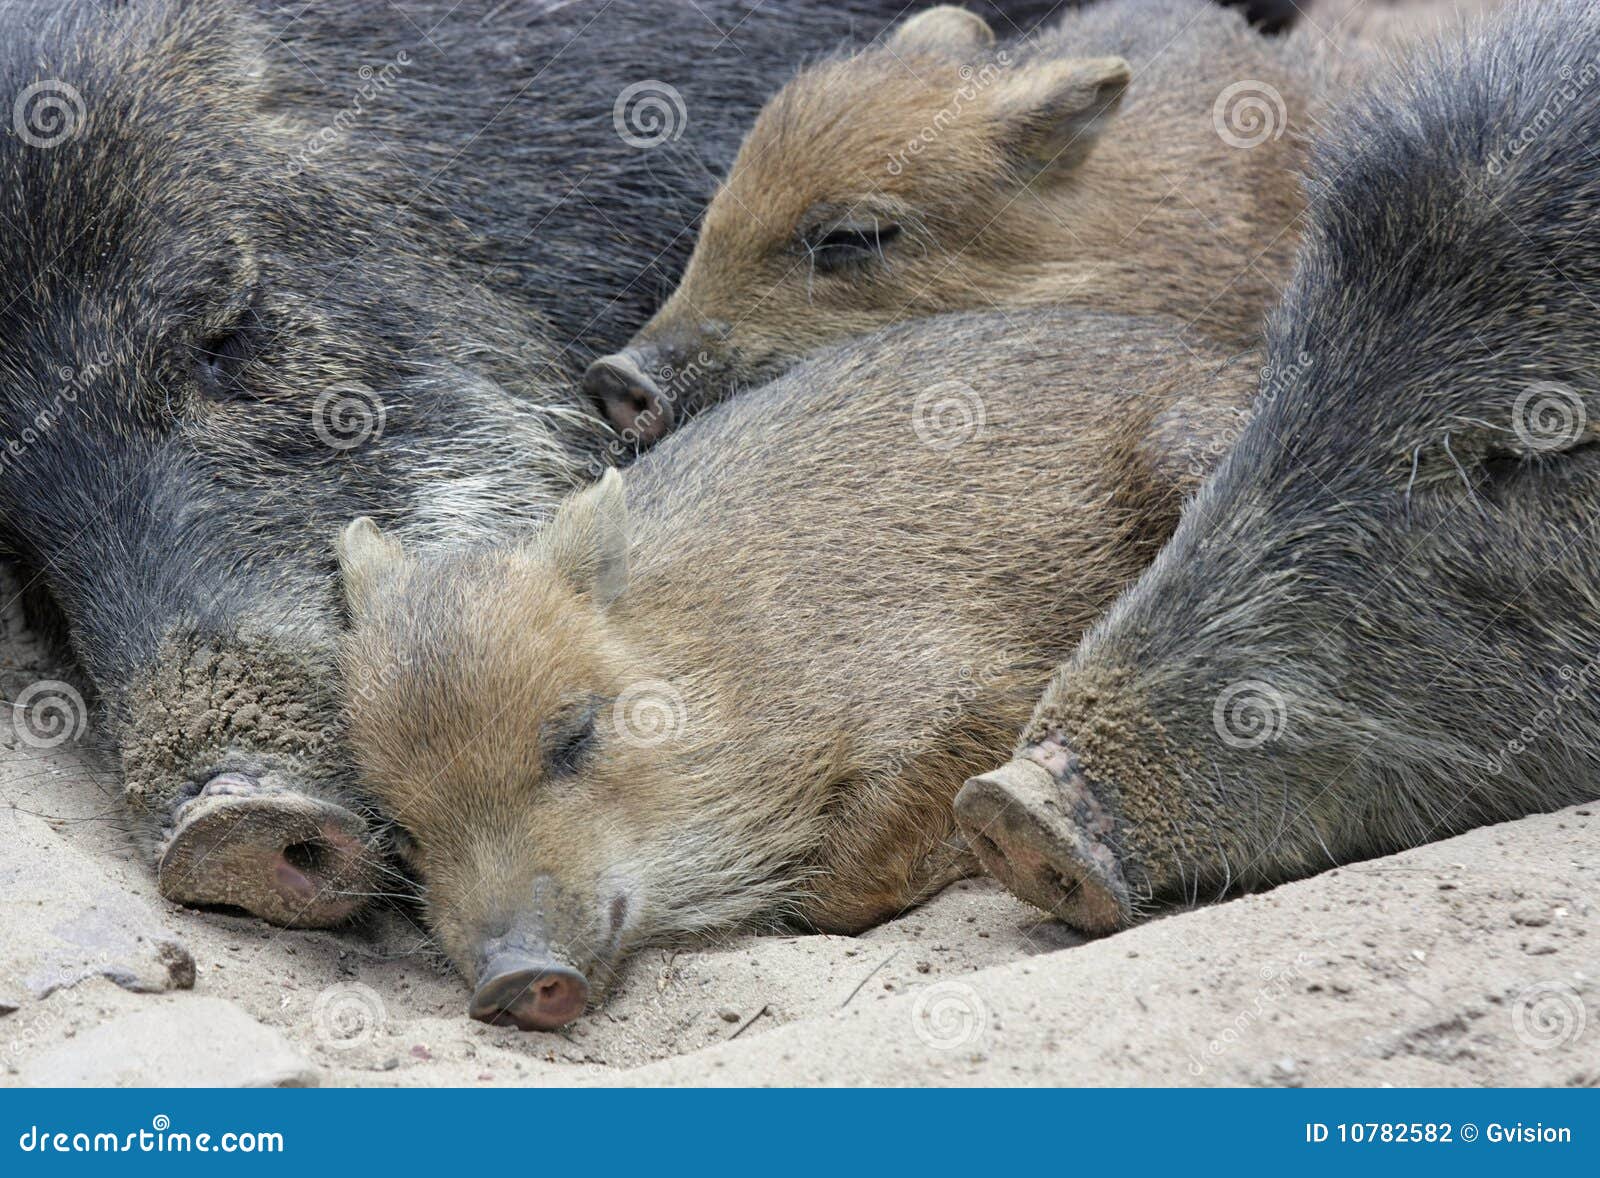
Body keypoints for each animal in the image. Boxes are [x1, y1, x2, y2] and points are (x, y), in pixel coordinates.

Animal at [337, 305, 1258, 1027]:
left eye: (574, 738)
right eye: (402, 828)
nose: (513, 979)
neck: (725, 663)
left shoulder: (967, 691)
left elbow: (836, 889)